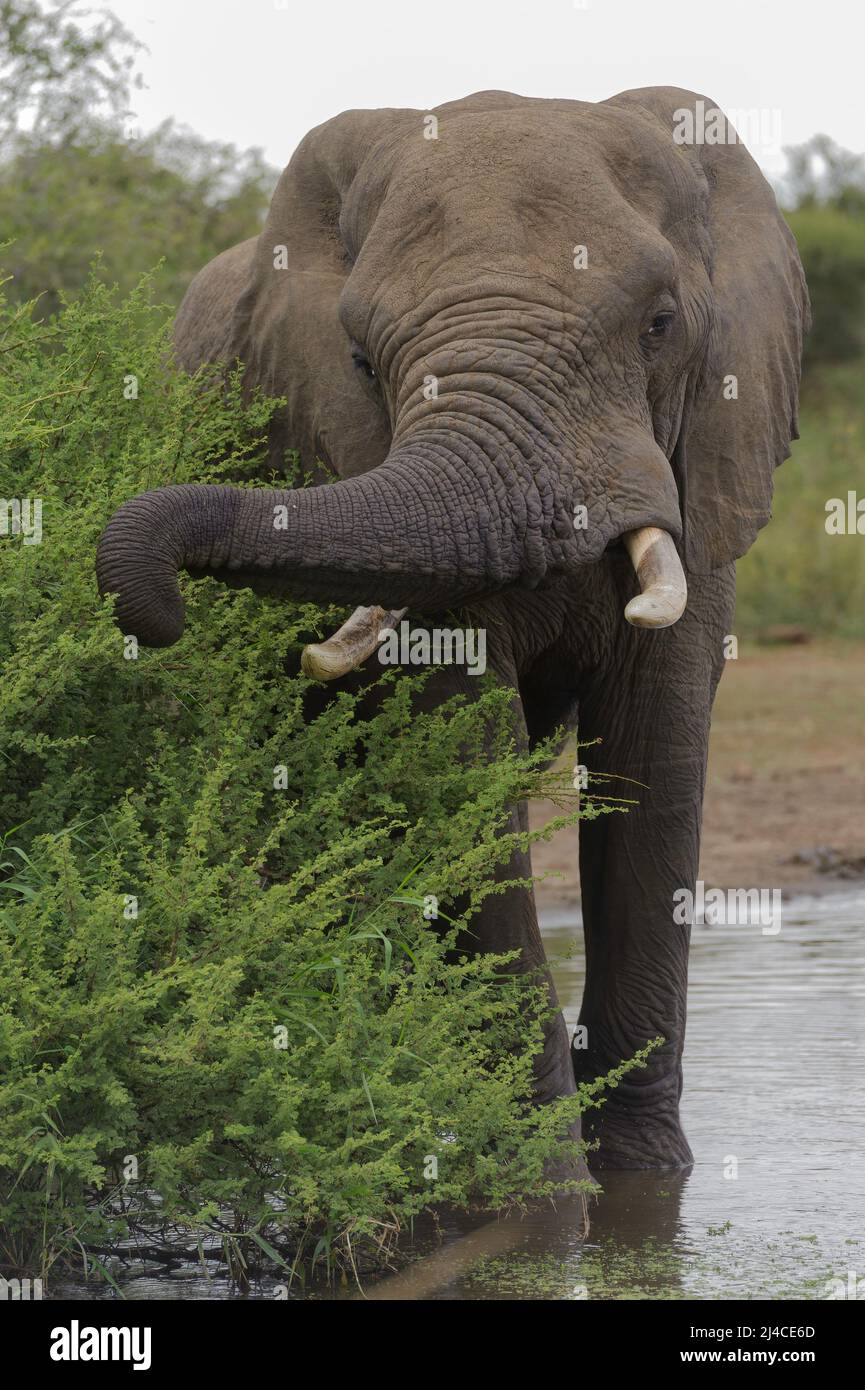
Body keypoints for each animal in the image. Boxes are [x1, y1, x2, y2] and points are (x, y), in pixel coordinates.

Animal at [96, 87, 808, 1171]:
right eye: (357, 359)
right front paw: (534, 1173)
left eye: (659, 323)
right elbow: (460, 755)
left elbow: (655, 758)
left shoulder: (706, 462)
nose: (158, 603)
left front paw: (641, 1180)